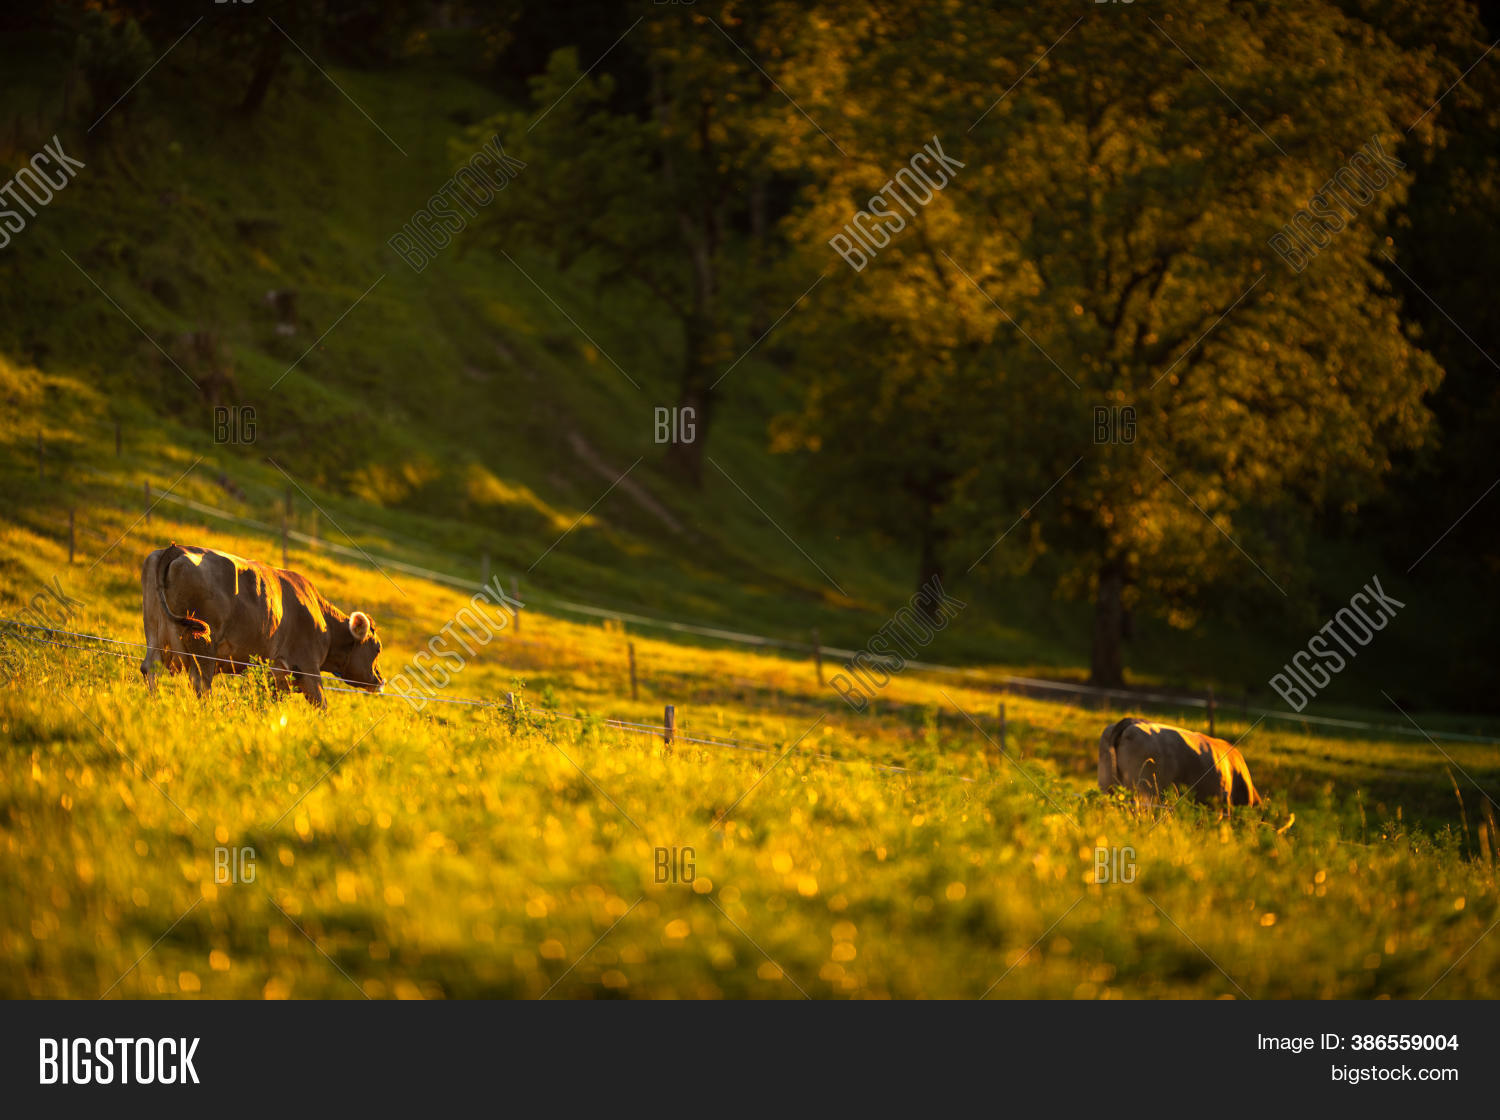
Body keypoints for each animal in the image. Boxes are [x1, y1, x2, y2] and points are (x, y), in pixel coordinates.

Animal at [140, 542, 385, 708]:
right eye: (378, 648)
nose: (380, 679)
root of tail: (177, 549)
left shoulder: (276, 675)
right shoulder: (307, 666)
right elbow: (321, 704)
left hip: (155, 632)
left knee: (150, 668)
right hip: (204, 645)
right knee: (201, 682)